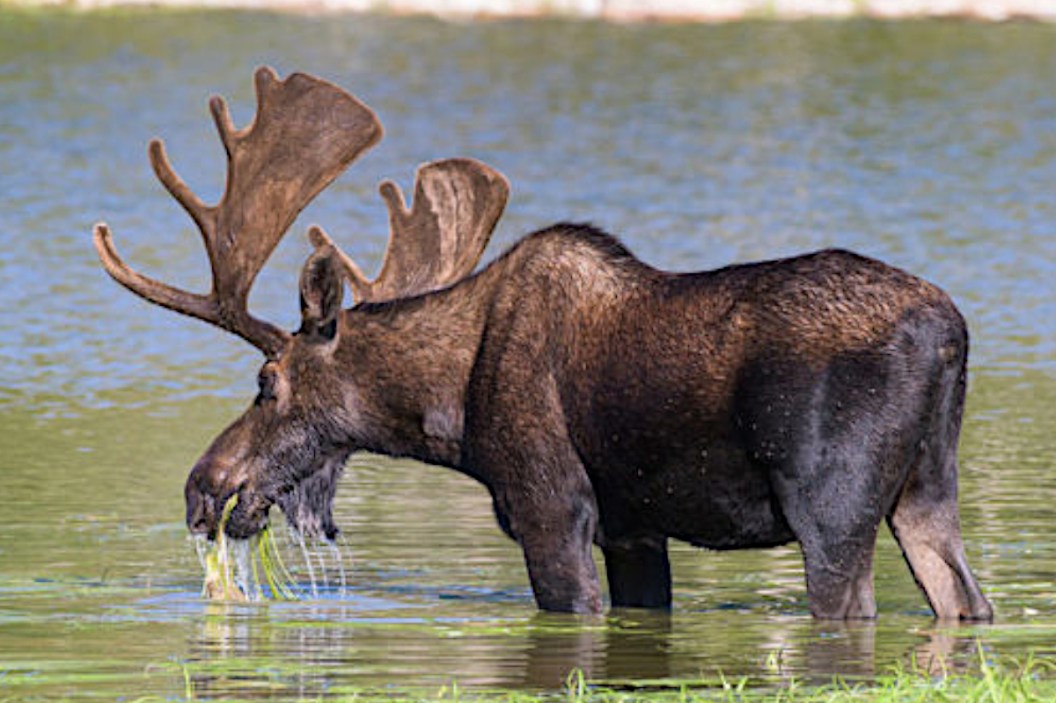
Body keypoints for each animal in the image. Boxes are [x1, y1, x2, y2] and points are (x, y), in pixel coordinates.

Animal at [93, 67, 992, 620]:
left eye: (267, 380)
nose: (203, 488)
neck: (447, 413)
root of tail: (952, 332)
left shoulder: (550, 507)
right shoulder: (633, 524)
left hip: (832, 508)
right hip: (927, 491)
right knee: (965, 602)